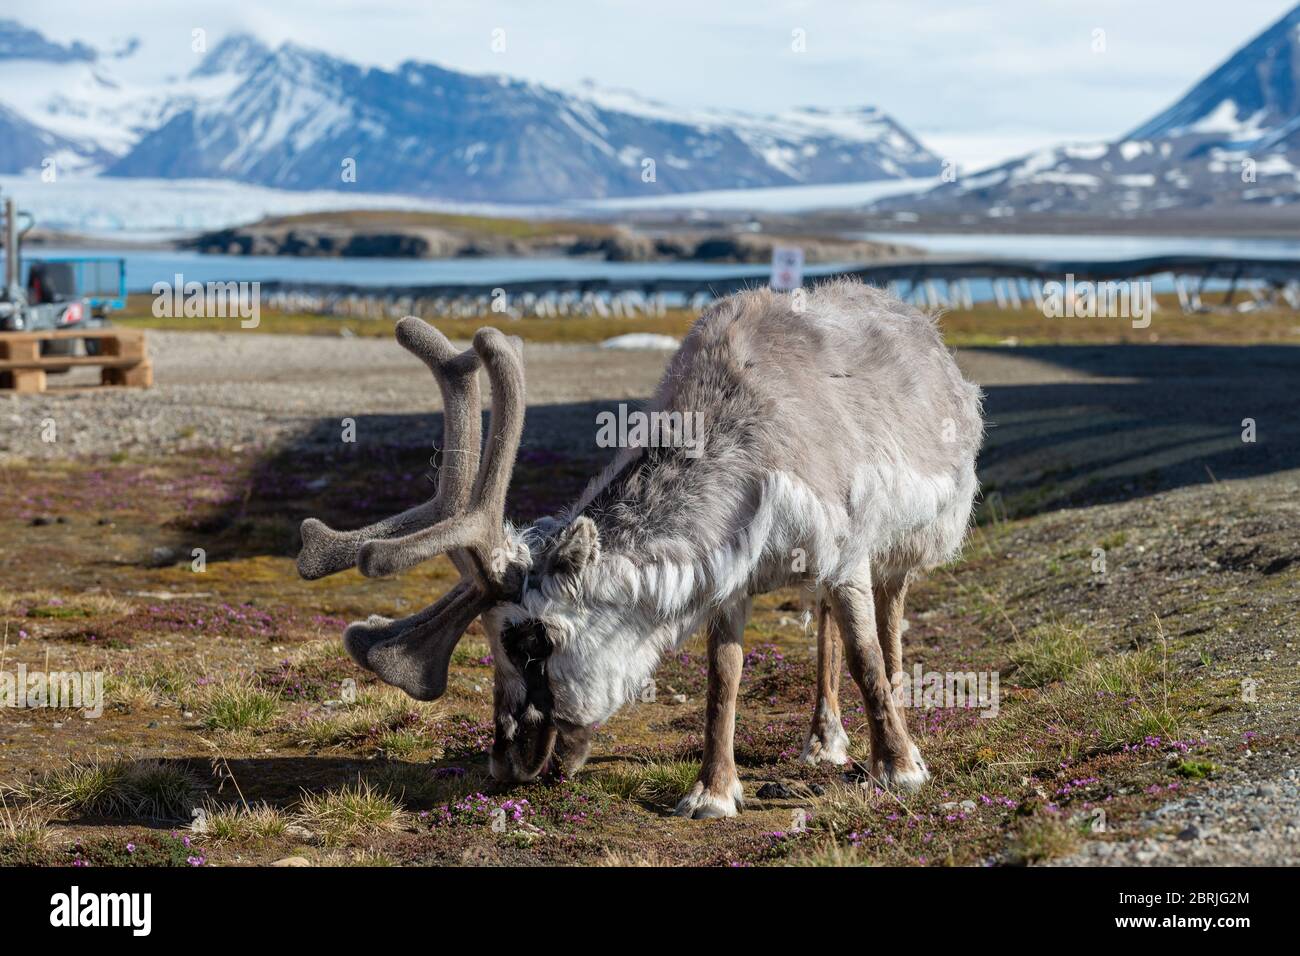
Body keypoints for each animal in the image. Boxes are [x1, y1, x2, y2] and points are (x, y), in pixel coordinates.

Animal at [296, 279, 983, 818]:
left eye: (529, 642)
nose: (505, 762)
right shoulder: (731, 578)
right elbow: (724, 677)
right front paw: (713, 791)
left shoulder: (843, 550)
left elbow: (865, 654)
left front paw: (900, 766)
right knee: (824, 625)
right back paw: (823, 739)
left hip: (912, 535)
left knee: (887, 613)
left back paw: (893, 715)